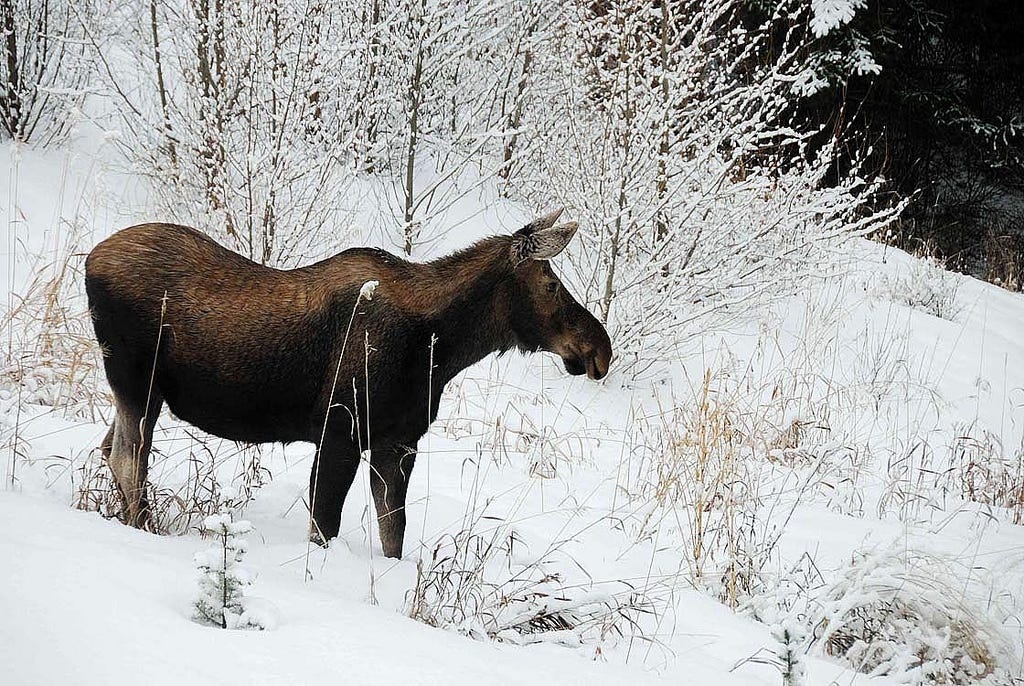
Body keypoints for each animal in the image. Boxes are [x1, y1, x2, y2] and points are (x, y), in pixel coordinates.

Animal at [85, 209, 612, 558]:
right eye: (550, 284)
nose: (600, 349)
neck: (440, 346)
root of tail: (89, 261)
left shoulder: (398, 441)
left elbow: (393, 533)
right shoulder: (341, 430)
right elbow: (326, 524)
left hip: (138, 392)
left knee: (110, 448)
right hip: (137, 382)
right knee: (127, 457)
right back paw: (144, 528)